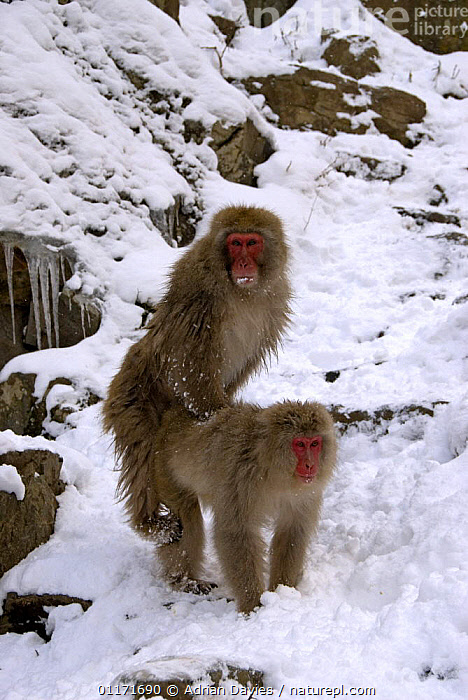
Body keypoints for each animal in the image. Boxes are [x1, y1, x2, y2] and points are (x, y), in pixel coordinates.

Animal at [103, 205, 291, 537]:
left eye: (252, 242)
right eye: (235, 243)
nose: (243, 262)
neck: (242, 292)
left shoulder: (274, 304)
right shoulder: (198, 293)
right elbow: (188, 362)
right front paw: (213, 412)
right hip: (132, 397)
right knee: (142, 452)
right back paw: (149, 522)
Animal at [151, 400, 337, 614]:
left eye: (314, 443)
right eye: (300, 444)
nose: (310, 465)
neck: (270, 468)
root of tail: (172, 419)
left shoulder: (306, 491)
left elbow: (292, 530)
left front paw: (283, 590)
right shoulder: (239, 475)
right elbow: (236, 533)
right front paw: (253, 603)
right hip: (165, 472)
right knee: (186, 517)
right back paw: (183, 580)